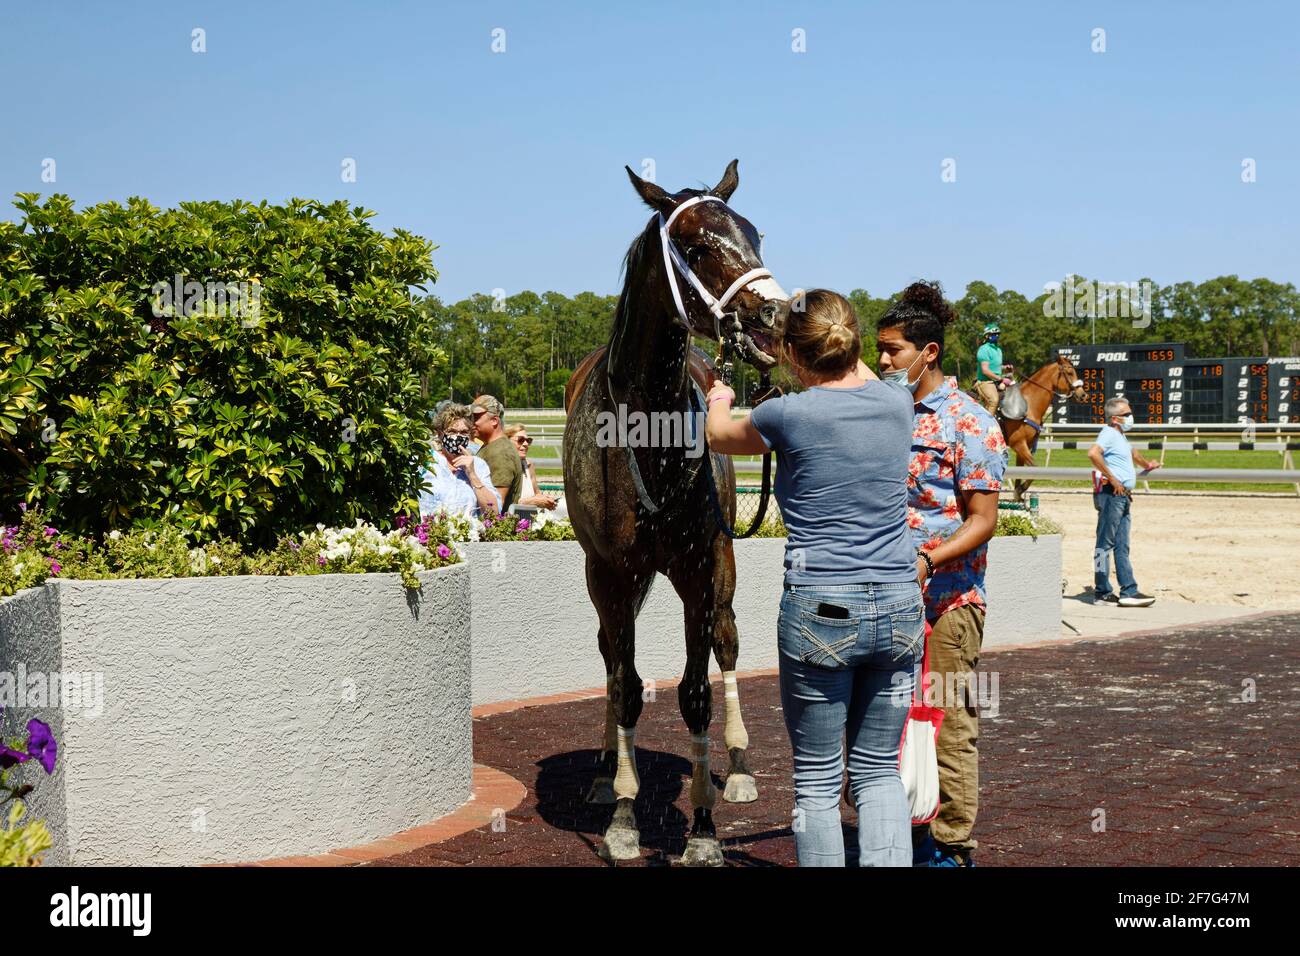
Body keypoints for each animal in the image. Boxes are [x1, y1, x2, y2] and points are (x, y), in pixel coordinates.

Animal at [562, 160, 790, 865]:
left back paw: (737, 767)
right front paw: (624, 815)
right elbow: (627, 684)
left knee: (727, 643)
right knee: (612, 661)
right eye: (695, 246)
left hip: (722, 569)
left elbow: (695, 693)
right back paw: (605, 772)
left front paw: (704, 829)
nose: (775, 315)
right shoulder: (610, 572)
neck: (647, 434)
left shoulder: (699, 566)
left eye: (754, 232)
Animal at [995, 355, 1086, 500]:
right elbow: (1035, 468)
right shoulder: (1018, 444)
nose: (1082, 395)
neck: (1029, 404)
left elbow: (1021, 473)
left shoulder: (1025, 446)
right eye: (1070, 372)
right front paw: (1021, 489)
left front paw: (1018, 495)